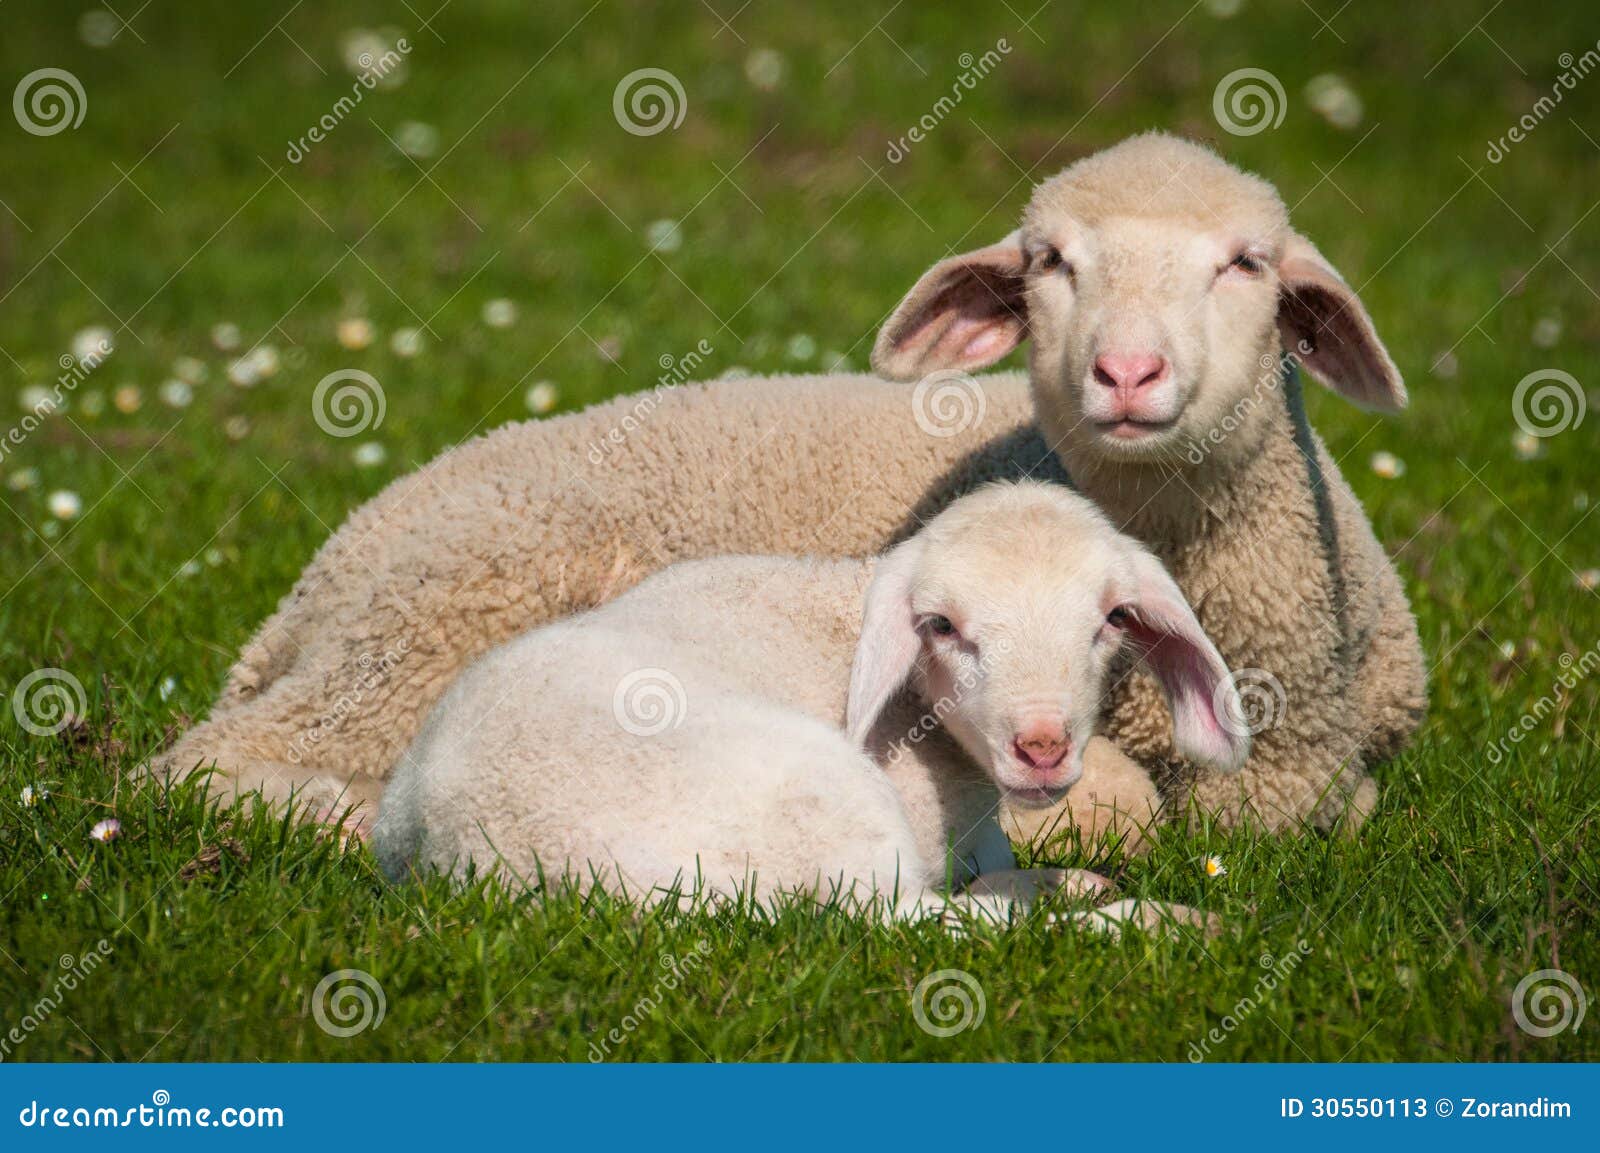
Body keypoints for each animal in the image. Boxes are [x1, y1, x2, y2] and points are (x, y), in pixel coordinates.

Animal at [155, 131, 1423, 841]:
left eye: (1246, 263)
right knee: (200, 769)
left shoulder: (1330, 771)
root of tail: (324, 571)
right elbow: (1120, 804)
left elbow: (1330, 809)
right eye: (1048, 262)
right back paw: (327, 816)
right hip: (425, 628)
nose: (1125, 370)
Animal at [373, 481, 1246, 930]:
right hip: (829, 806)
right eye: (940, 626)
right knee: (930, 923)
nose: (1042, 747)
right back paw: (1157, 919)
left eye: (1112, 619)